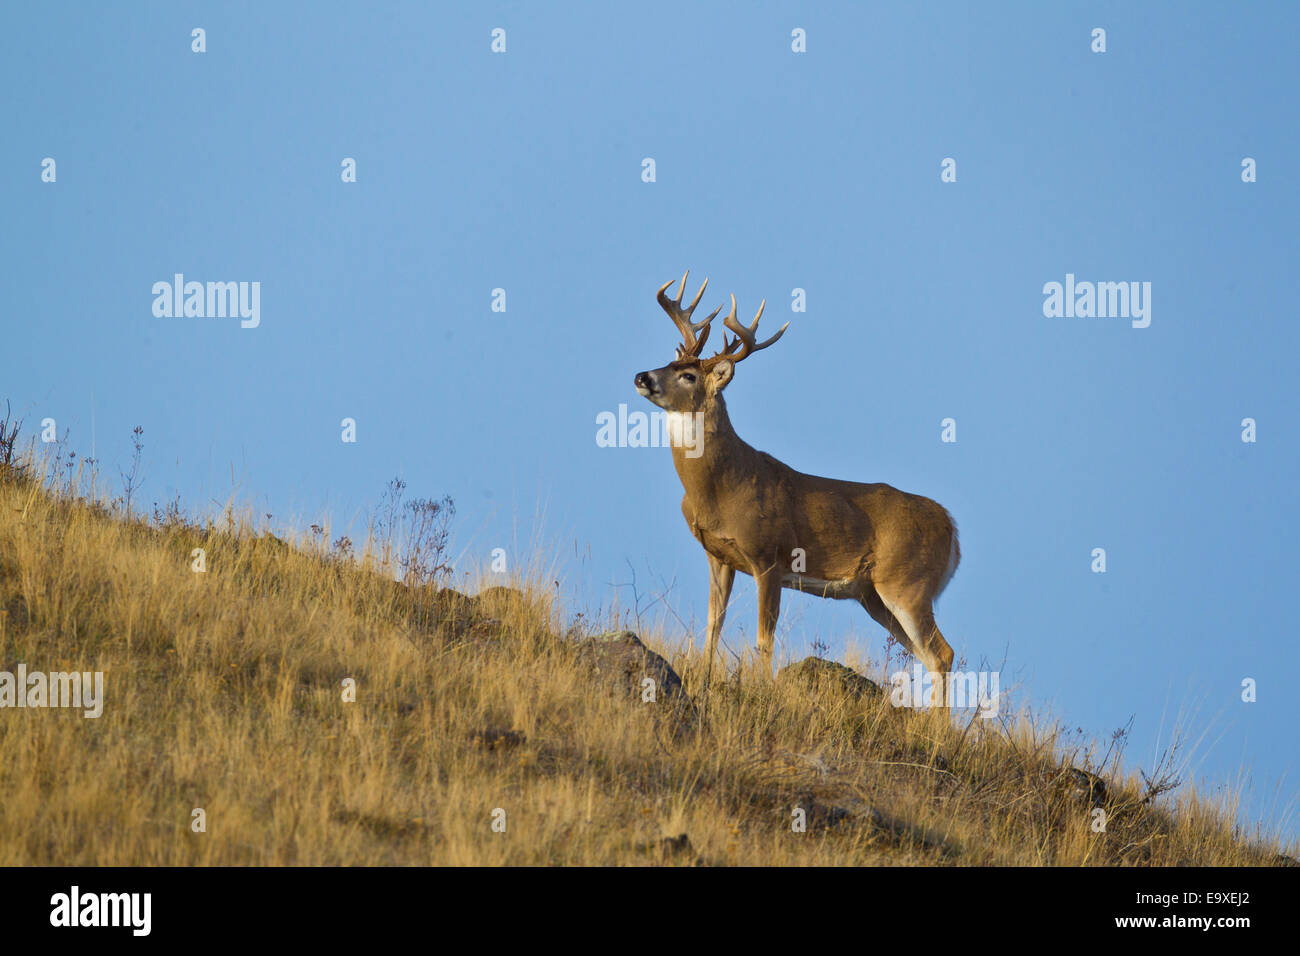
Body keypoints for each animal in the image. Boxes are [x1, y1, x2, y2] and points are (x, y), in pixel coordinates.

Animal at [633, 272, 961, 705]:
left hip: (908, 582)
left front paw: (762, 691)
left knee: (942, 652)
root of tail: (953, 530)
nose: (641, 376)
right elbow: (712, 626)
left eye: (688, 375)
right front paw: (701, 682)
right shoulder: (718, 555)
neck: (719, 490)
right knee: (926, 654)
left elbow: (764, 640)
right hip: (874, 595)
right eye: (670, 362)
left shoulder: (769, 556)